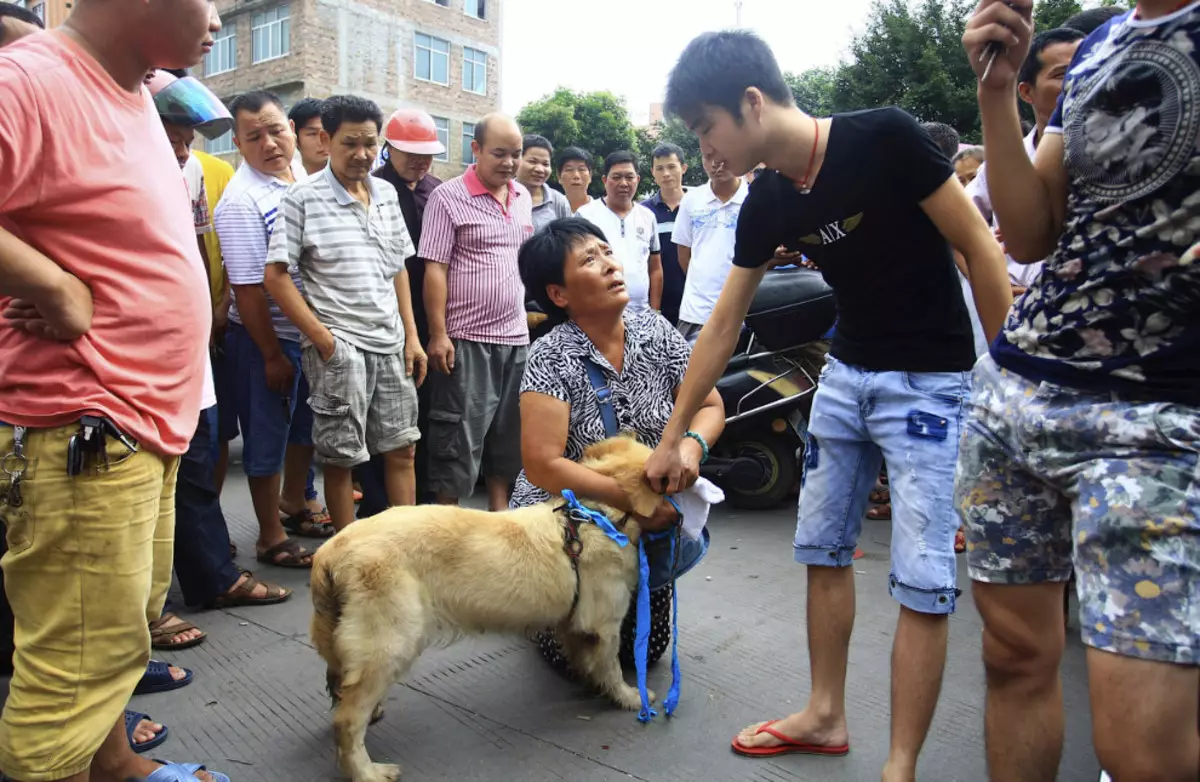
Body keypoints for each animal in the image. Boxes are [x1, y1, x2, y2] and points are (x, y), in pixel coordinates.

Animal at [309, 436, 662, 777]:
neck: (597, 518)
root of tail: (329, 552)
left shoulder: (575, 626)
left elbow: (586, 661)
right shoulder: (604, 626)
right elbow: (612, 667)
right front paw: (631, 697)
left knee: (338, 686)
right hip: (392, 642)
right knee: (347, 720)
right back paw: (367, 771)